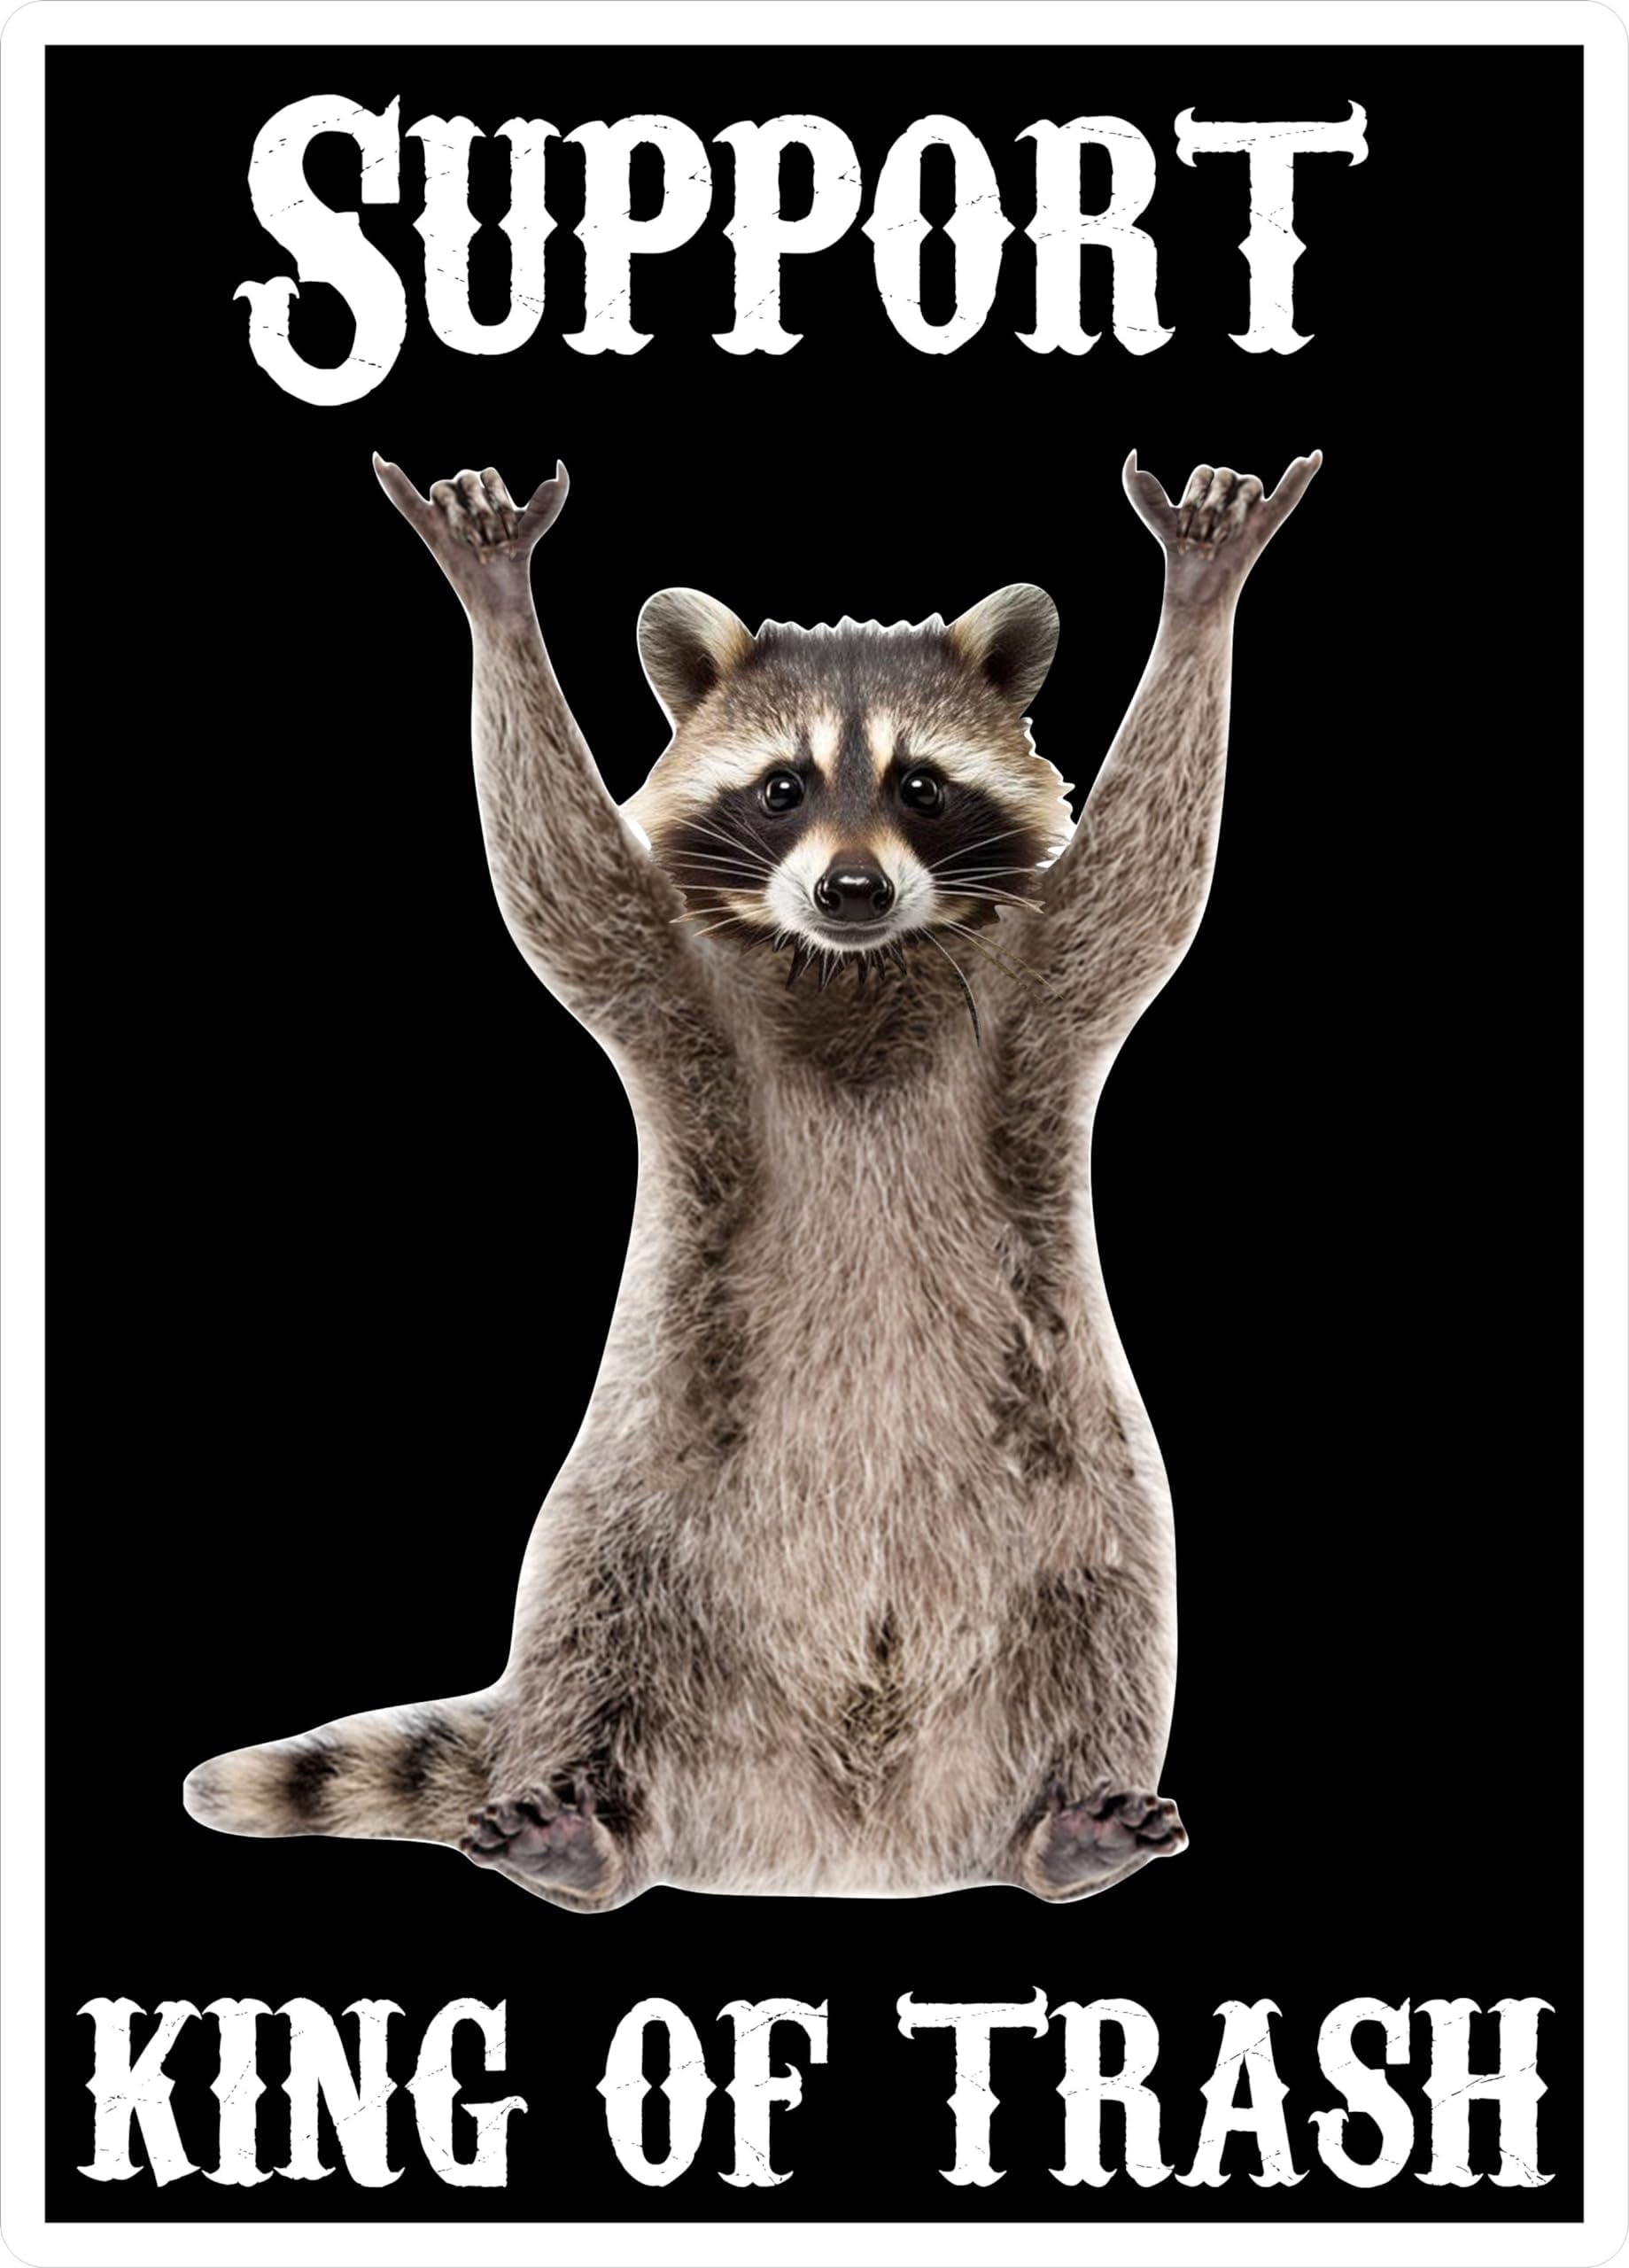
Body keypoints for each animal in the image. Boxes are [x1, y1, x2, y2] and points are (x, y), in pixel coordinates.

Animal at [183, 447, 1319, 1908]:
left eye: (920, 788)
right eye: (783, 787)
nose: (850, 890)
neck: (851, 974)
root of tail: (839, 1839)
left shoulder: (1038, 1000)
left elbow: (1141, 890)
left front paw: (1198, 602)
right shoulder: (679, 996)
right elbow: (566, 889)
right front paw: (497, 607)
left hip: (1080, 1491)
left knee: (1106, 1612)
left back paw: (1064, 1826)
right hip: (632, 1515)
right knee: (588, 1627)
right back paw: (589, 1834)